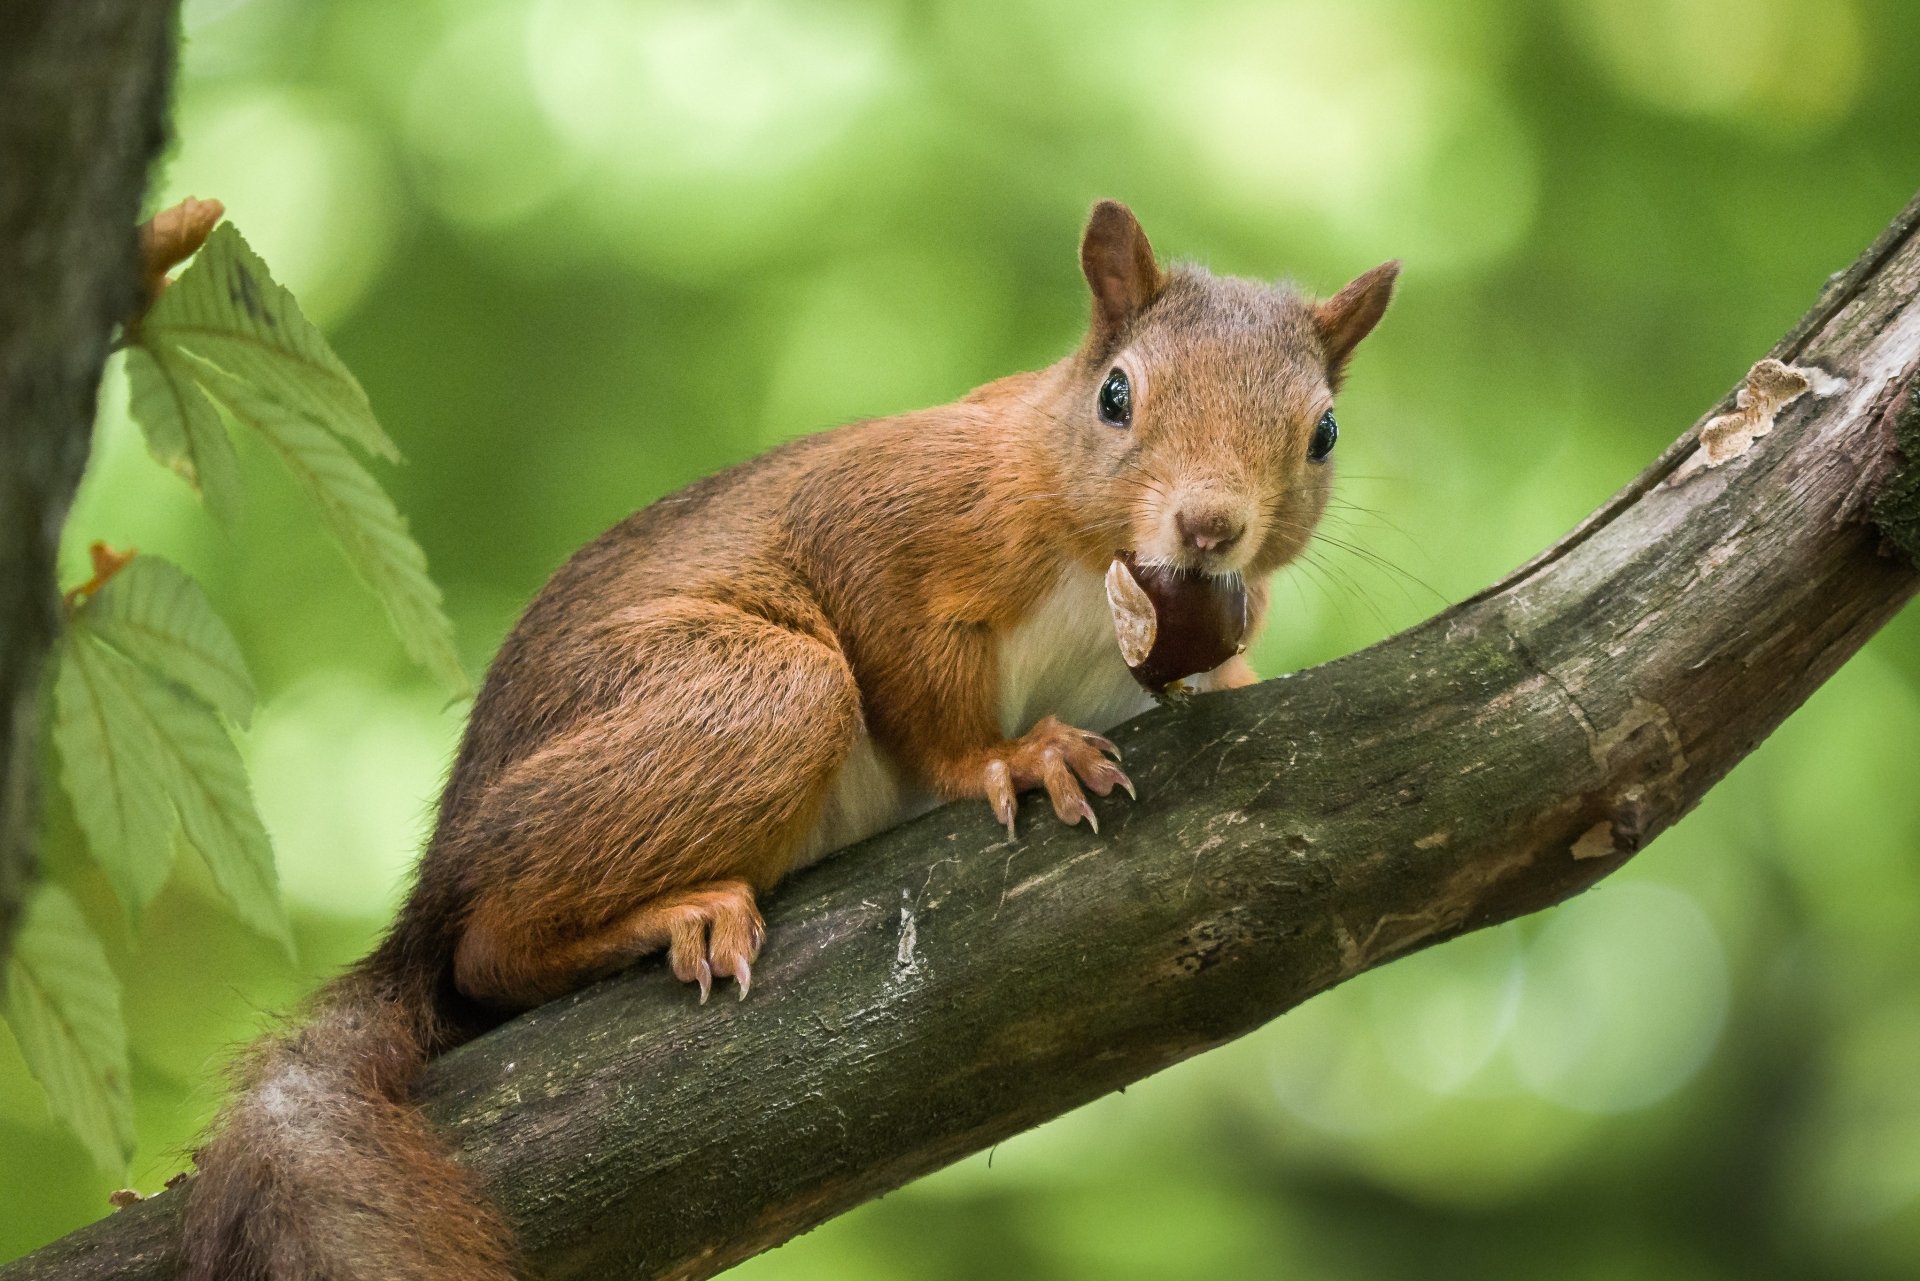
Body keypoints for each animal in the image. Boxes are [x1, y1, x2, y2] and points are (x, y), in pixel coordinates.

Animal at [179, 200, 1397, 1281]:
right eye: (1115, 395)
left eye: (1325, 434)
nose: (1209, 527)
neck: (1093, 553)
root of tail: (431, 885)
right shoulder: (889, 517)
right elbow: (906, 665)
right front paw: (1008, 759)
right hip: (756, 698)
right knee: (486, 951)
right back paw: (672, 914)